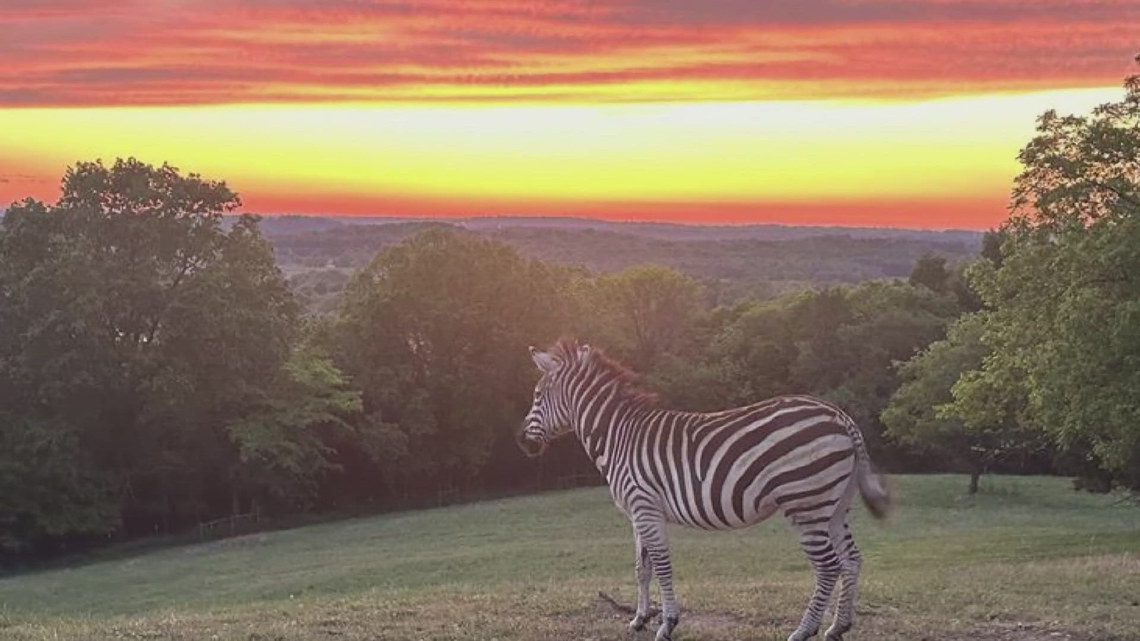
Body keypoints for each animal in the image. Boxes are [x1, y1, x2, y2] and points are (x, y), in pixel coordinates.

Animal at [516, 338, 892, 641]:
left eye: (536, 395)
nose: (521, 442)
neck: (617, 435)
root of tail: (841, 416)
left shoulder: (645, 507)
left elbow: (662, 565)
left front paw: (667, 624)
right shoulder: (638, 513)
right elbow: (642, 568)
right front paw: (639, 620)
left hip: (805, 503)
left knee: (828, 566)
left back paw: (804, 630)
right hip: (834, 505)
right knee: (852, 559)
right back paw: (838, 627)